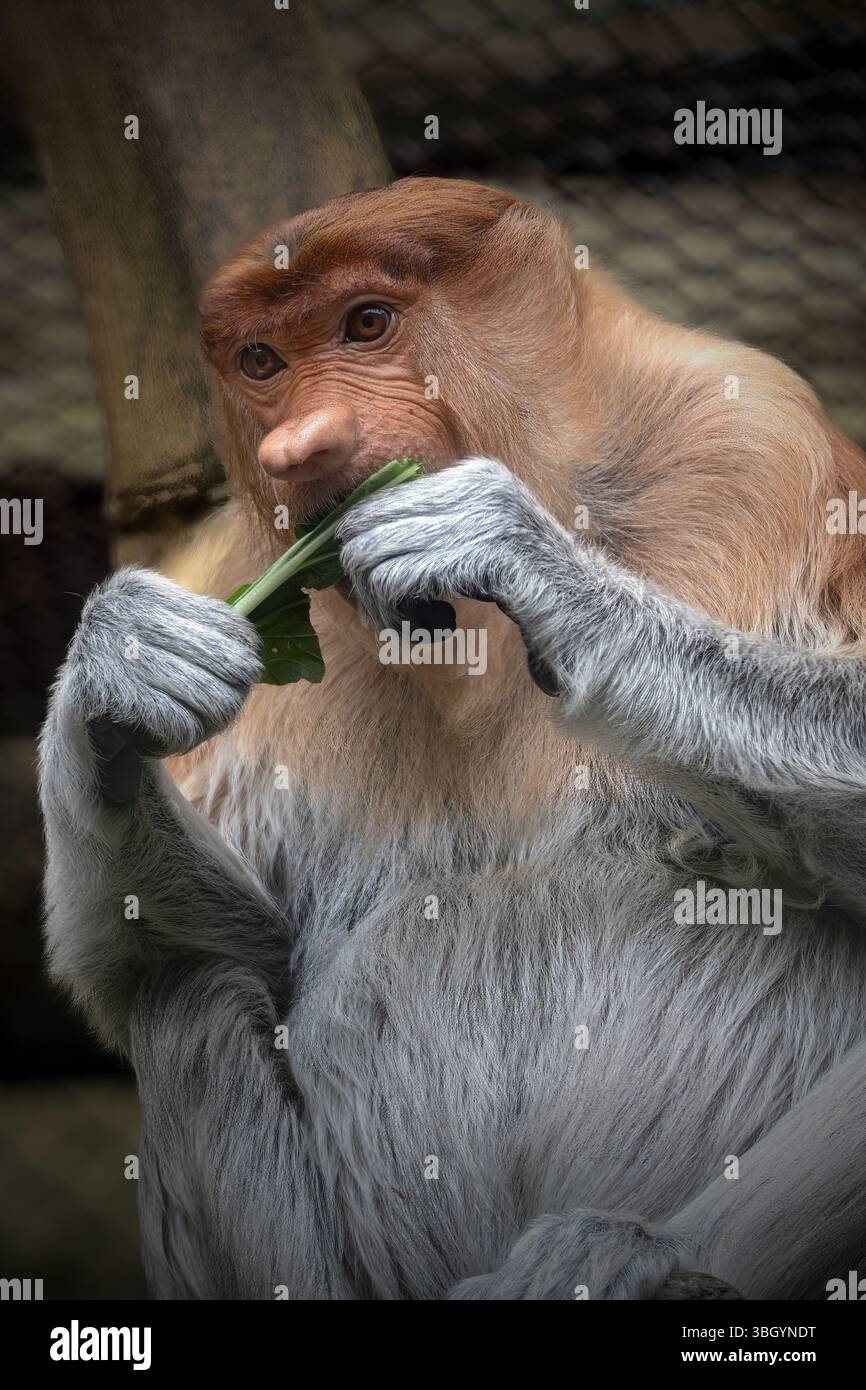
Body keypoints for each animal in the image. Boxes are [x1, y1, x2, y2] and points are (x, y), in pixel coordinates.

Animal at [39, 177, 866, 1300]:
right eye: (261, 362)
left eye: (366, 323)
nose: (295, 451)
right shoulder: (222, 561)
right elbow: (167, 958)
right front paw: (123, 670)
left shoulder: (759, 443)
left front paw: (513, 553)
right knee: (187, 996)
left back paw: (631, 1259)